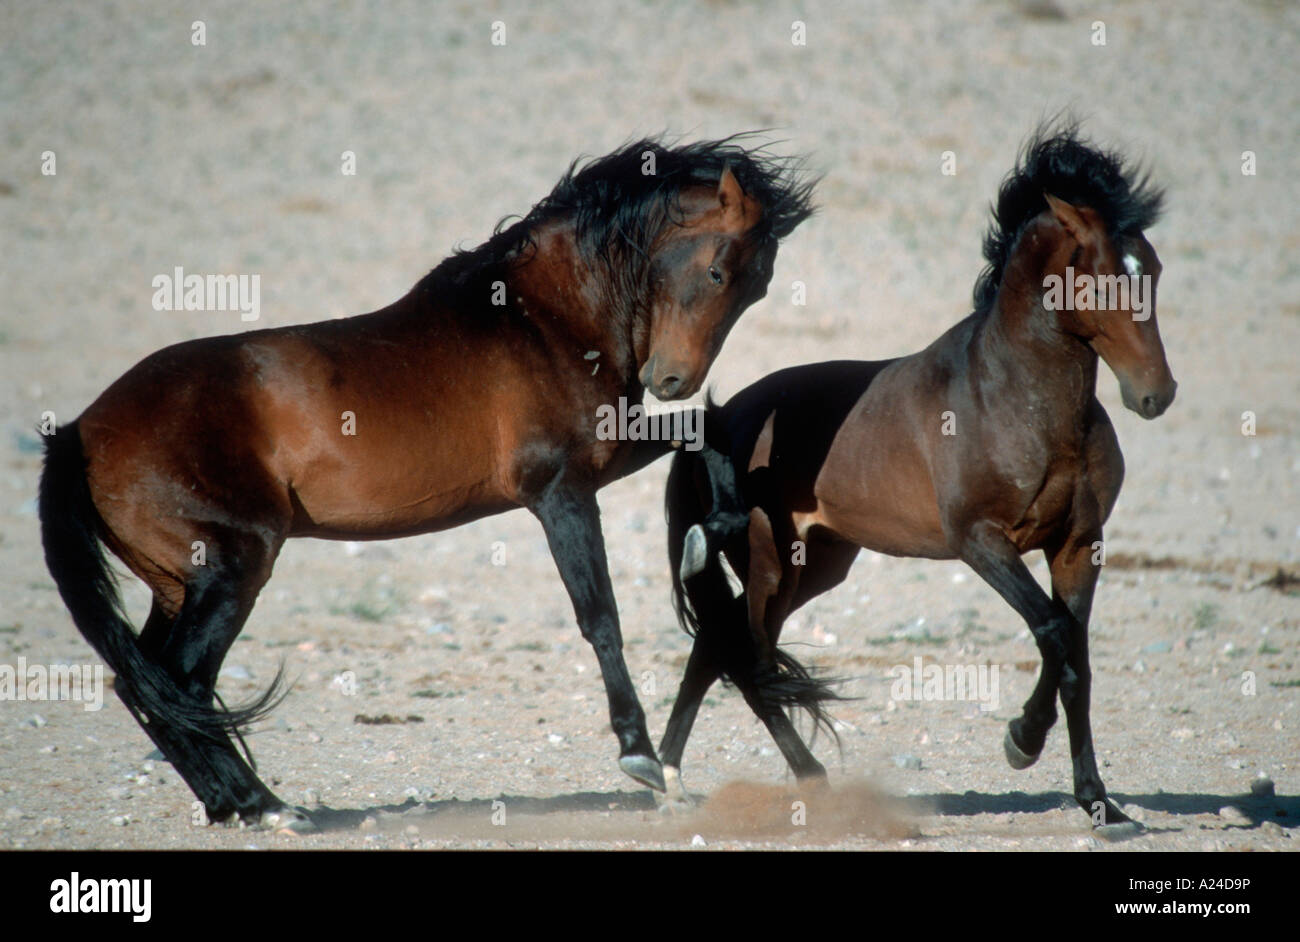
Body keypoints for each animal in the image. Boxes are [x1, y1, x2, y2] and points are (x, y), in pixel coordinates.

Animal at [38, 135, 815, 831]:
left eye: (757, 286)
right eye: (718, 272)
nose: (669, 379)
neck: (541, 317)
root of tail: (80, 430)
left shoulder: (609, 456)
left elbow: (705, 427)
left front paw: (712, 529)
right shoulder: (560, 491)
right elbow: (601, 620)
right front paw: (640, 759)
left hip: (178, 586)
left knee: (146, 683)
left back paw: (237, 804)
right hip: (232, 569)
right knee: (181, 680)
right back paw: (266, 807)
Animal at [662, 125, 1174, 833]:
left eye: (1152, 270)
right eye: (1098, 283)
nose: (1156, 395)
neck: (1019, 404)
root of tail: (724, 413)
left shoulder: (1079, 546)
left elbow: (1077, 659)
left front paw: (1100, 803)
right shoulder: (982, 542)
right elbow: (1052, 633)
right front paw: (1020, 742)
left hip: (818, 566)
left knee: (719, 646)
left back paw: (672, 775)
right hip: (770, 563)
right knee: (747, 658)